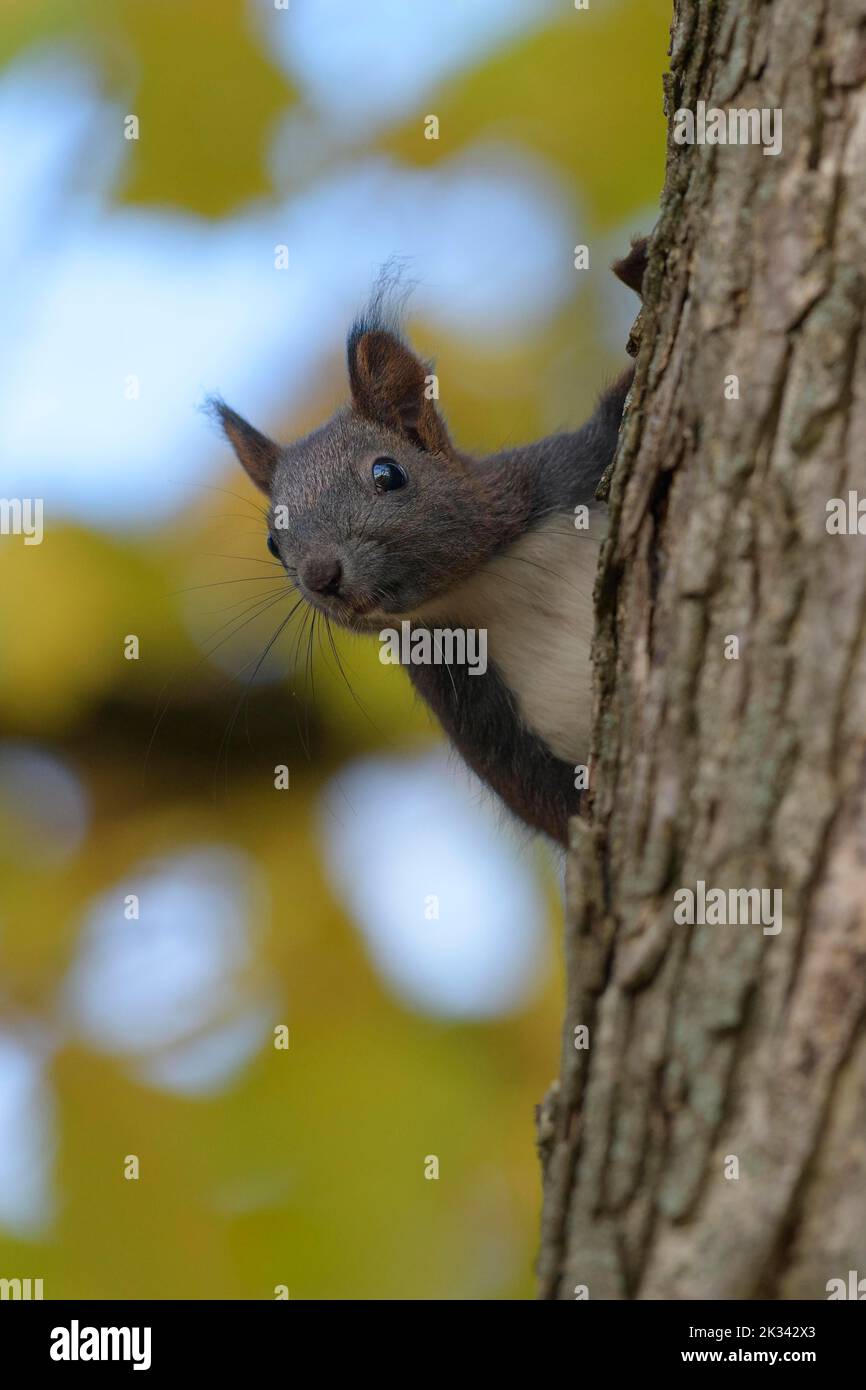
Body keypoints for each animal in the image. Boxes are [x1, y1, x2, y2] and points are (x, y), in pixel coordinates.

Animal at [211, 238, 647, 846]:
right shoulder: (464, 697)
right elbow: (538, 797)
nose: (321, 576)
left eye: (388, 473)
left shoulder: (569, 468)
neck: (486, 578)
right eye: (274, 546)